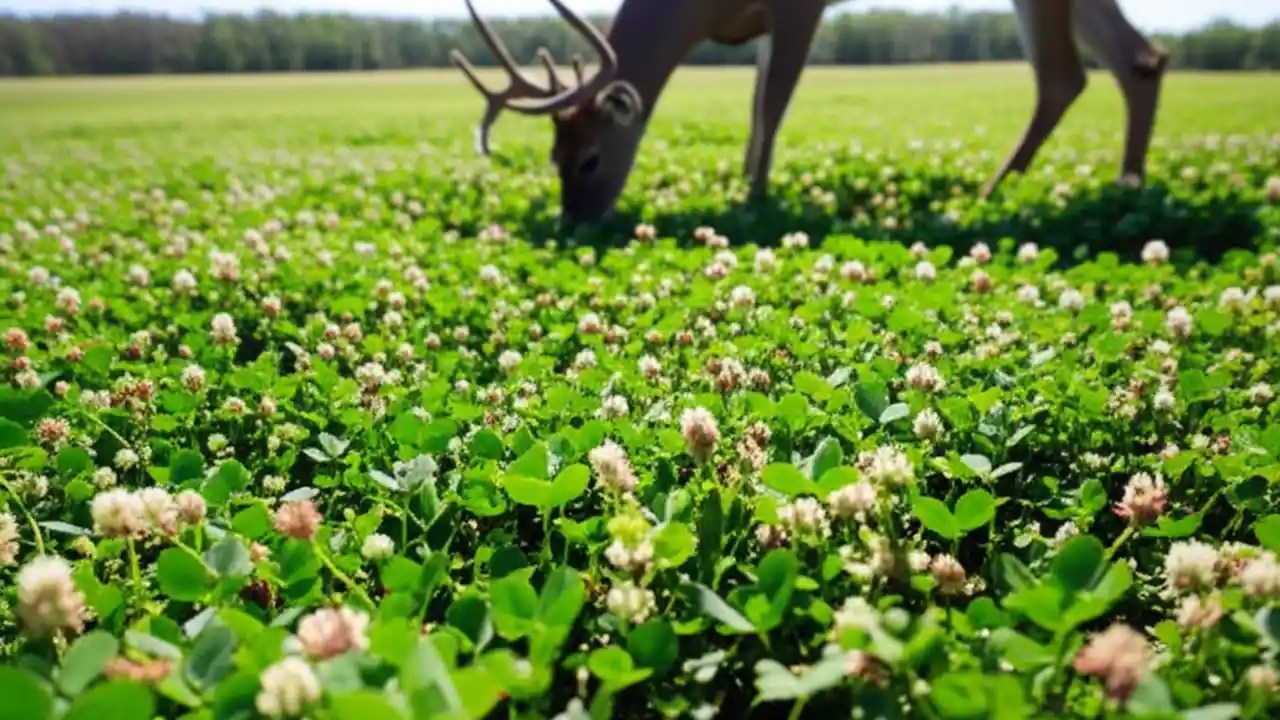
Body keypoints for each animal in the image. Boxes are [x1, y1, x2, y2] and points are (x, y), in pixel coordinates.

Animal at [451, 0, 1169, 223]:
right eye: (553, 155)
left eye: (592, 160)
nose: (574, 224)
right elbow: (753, 105)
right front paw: (745, 183)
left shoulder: (799, 4)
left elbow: (772, 102)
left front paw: (755, 198)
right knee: (1137, 57)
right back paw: (1126, 185)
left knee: (1064, 75)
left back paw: (992, 196)